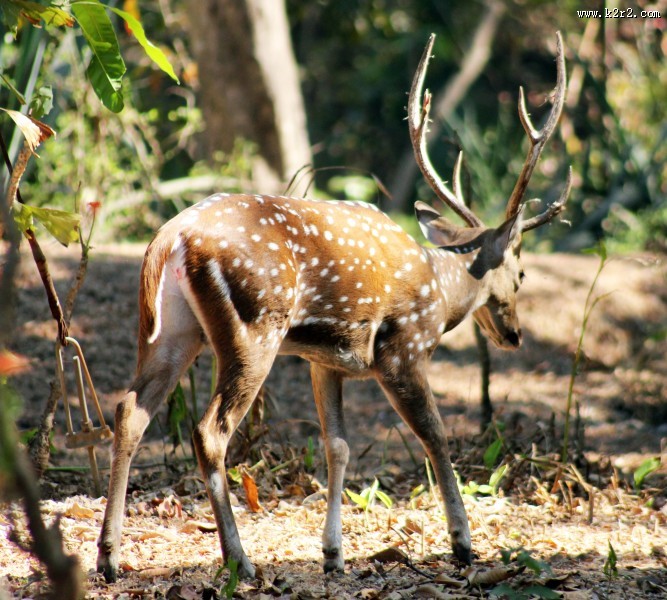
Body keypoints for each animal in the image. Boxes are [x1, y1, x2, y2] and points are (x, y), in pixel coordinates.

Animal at [97, 32, 570, 582]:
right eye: (522, 273)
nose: (514, 334)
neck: (440, 286)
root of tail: (170, 237)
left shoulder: (326, 360)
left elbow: (337, 446)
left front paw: (333, 553)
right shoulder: (402, 350)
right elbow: (434, 435)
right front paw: (463, 544)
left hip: (170, 329)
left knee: (130, 409)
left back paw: (109, 556)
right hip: (254, 326)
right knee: (209, 430)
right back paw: (239, 560)